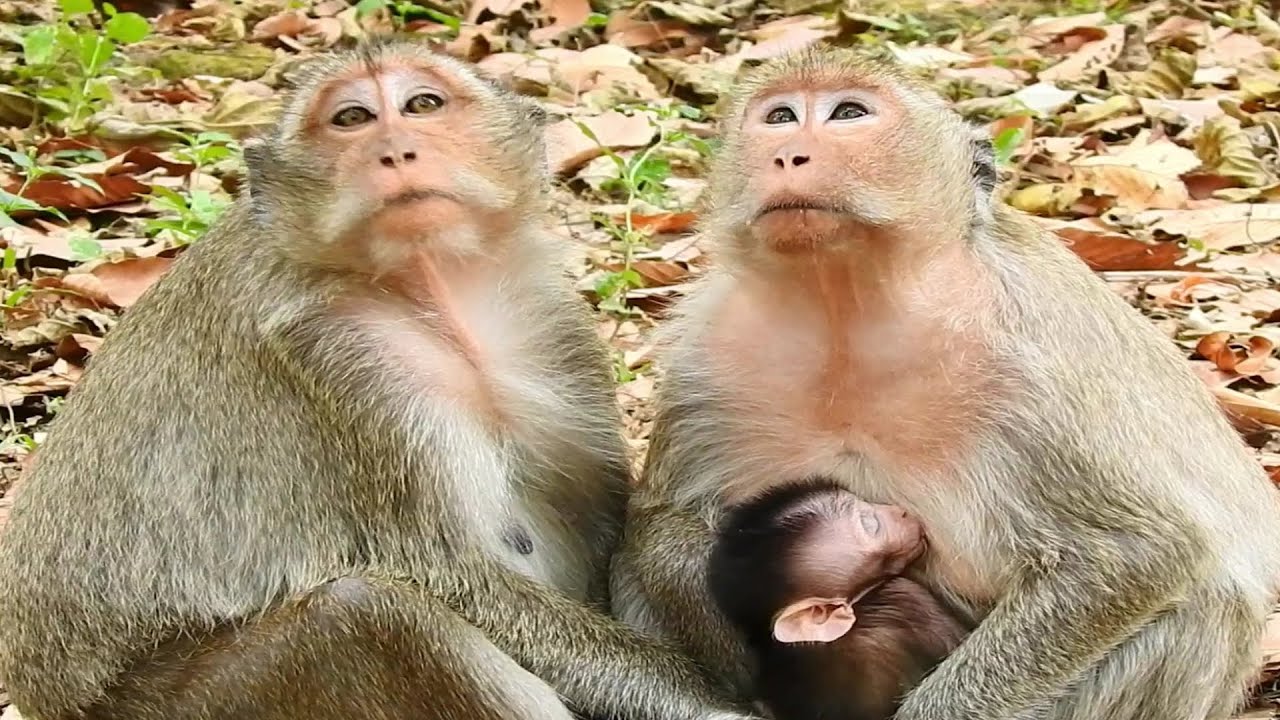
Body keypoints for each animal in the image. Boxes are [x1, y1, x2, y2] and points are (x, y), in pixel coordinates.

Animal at [0, 39, 759, 720]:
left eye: (422, 104)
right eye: (352, 119)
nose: (394, 150)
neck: (431, 290)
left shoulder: (551, 326)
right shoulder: (342, 362)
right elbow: (456, 579)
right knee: (366, 612)